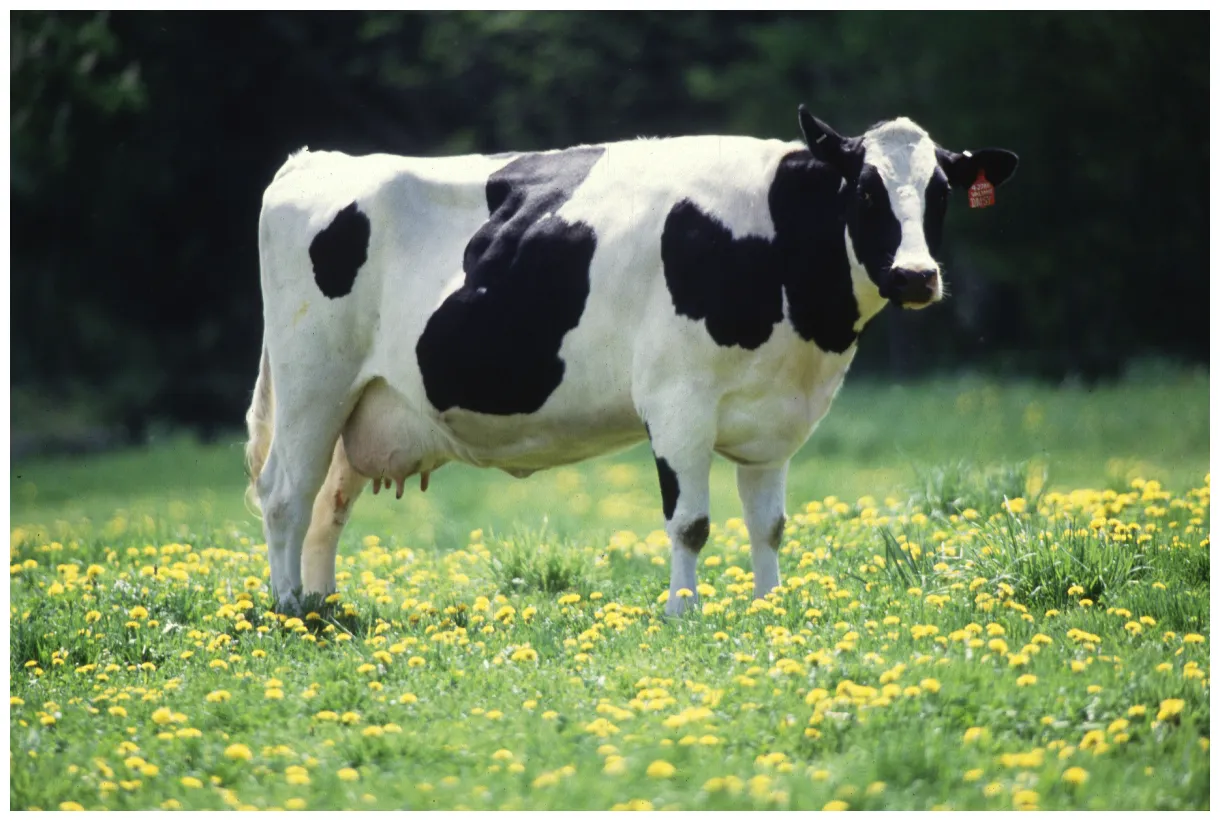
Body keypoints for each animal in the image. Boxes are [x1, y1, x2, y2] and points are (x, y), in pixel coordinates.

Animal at [244, 106, 1018, 615]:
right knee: (285, 492)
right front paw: (683, 613)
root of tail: (314, 160)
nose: (916, 275)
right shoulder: (678, 401)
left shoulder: (774, 418)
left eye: (941, 192)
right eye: (864, 189)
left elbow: (768, 524)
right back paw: (289, 609)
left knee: (328, 503)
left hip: (362, 401)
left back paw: (324, 604)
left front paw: (770, 607)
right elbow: (691, 522)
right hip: (313, 381)